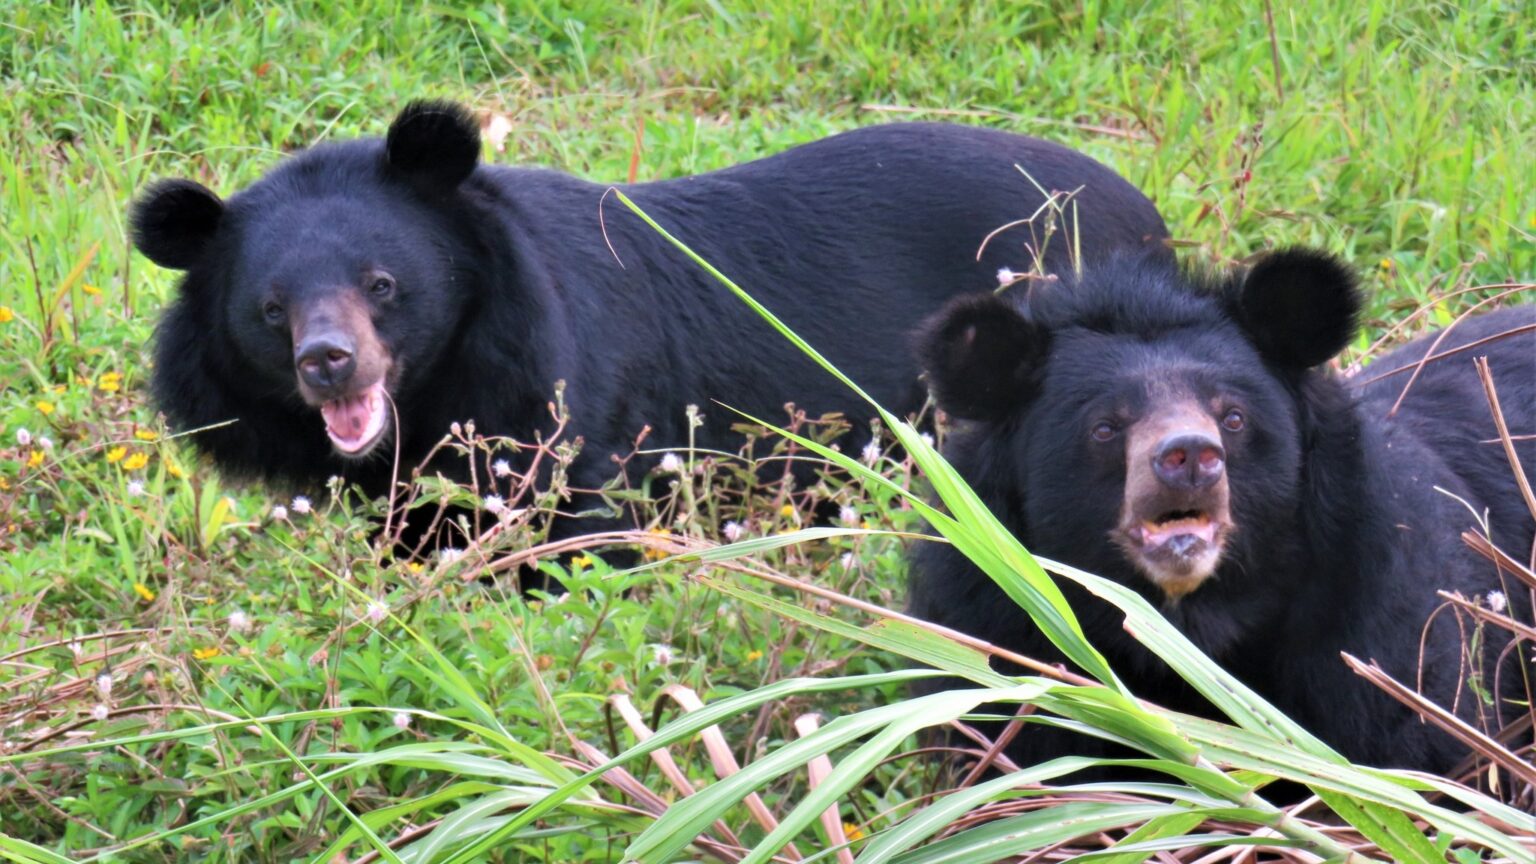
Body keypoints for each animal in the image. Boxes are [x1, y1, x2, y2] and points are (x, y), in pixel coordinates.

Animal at [132, 100, 1168, 543]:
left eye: (382, 284)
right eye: (270, 310)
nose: (331, 362)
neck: (437, 391)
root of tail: (1139, 208)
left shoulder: (566, 403)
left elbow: (578, 536)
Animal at [908, 247, 1535, 778]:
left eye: (1232, 417)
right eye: (1105, 427)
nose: (1188, 456)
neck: (1195, 619)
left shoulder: (1379, 617)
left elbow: (1410, 739)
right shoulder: (991, 618)